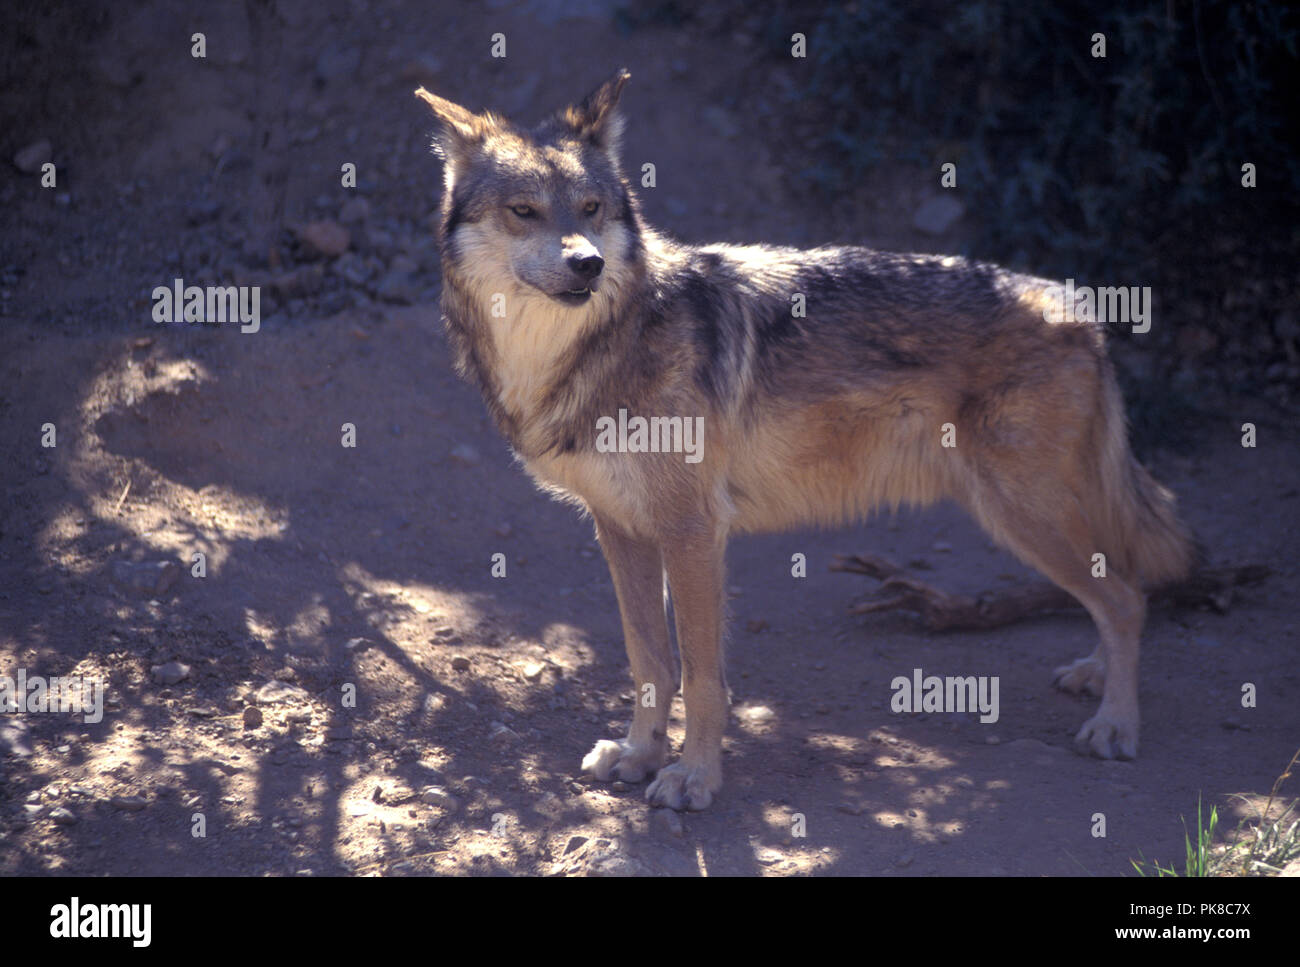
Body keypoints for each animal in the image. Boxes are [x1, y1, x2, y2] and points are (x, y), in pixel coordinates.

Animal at [414, 70, 1194, 811]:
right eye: (524, 211)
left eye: (591, 210)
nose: (588, 265)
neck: (585, 351)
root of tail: (1080, 307)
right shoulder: (623, 528)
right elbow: (649, 662)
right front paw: (638, 755)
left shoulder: (693, 530)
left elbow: (700, 674)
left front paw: (695, 778)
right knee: (1116, 587)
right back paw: (1094, 674)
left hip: (1018, 513)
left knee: (1126, 596)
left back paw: (1115, 724)